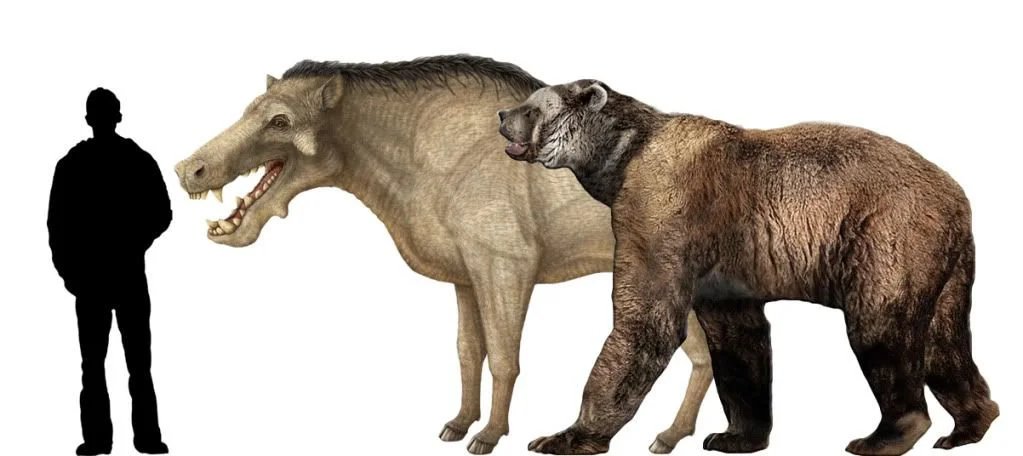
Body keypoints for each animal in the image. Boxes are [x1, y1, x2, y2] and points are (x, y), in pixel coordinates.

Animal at [496, 79, 999, 456]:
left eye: (533, 107)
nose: (502, 115)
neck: (623, 154)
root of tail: (958, 195)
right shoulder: (725, 264)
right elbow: (738, 337)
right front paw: (733, 435)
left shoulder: (660, 208)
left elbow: (647, 320)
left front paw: (562, 435)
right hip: (945, 261)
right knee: (944, 340)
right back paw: (968, 424)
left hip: (887, 236)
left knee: (882, 328)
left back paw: (886, 434)